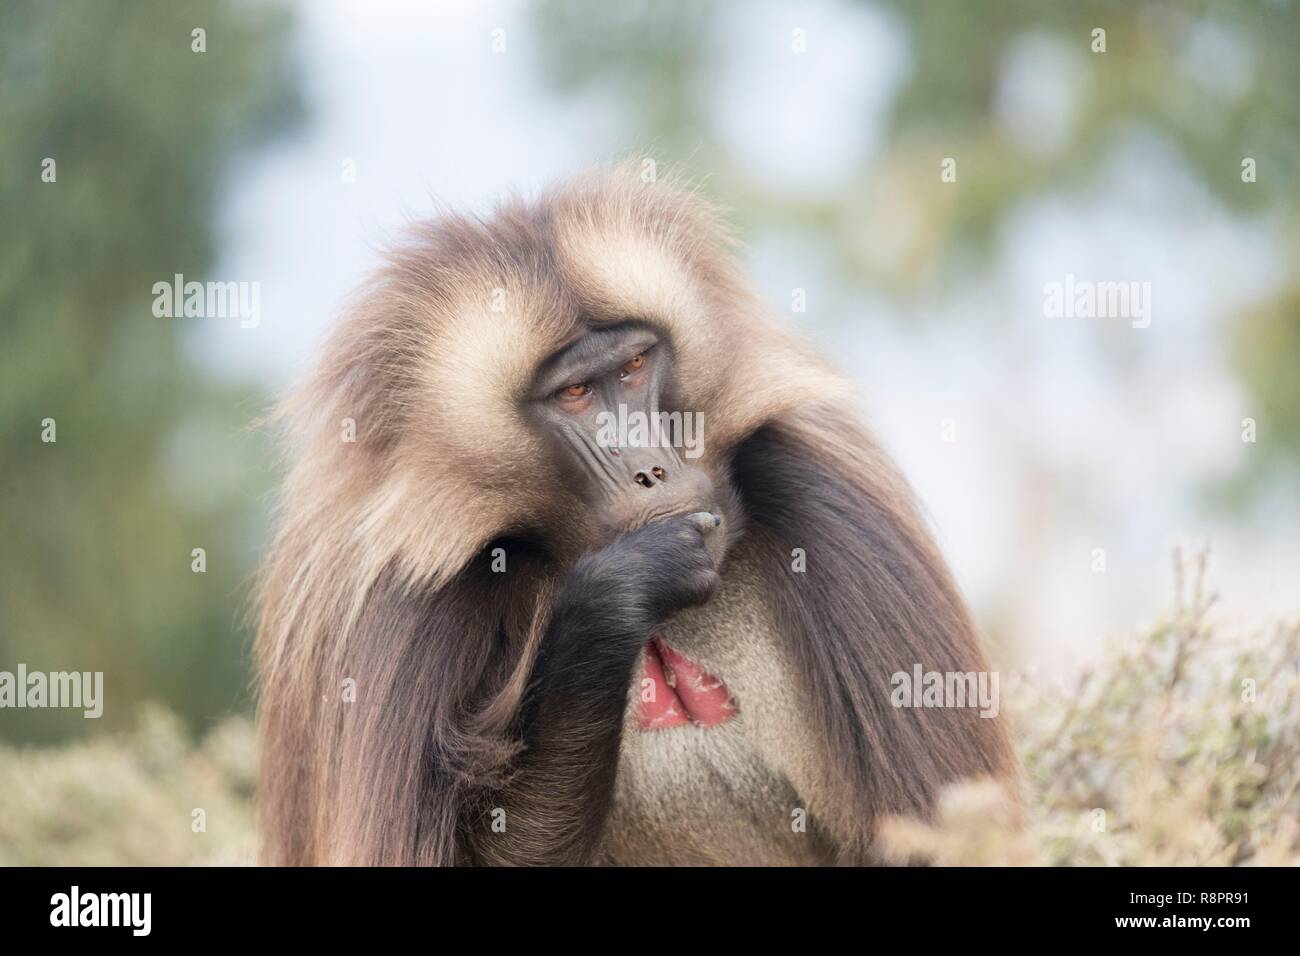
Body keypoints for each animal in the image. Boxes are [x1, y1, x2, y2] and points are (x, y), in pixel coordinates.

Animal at [254, 166, 1018, 866]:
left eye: (634, 365)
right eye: (575, 394)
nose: (654, 470)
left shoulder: (828, 503)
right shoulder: (404, 604)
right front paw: (624, 587)